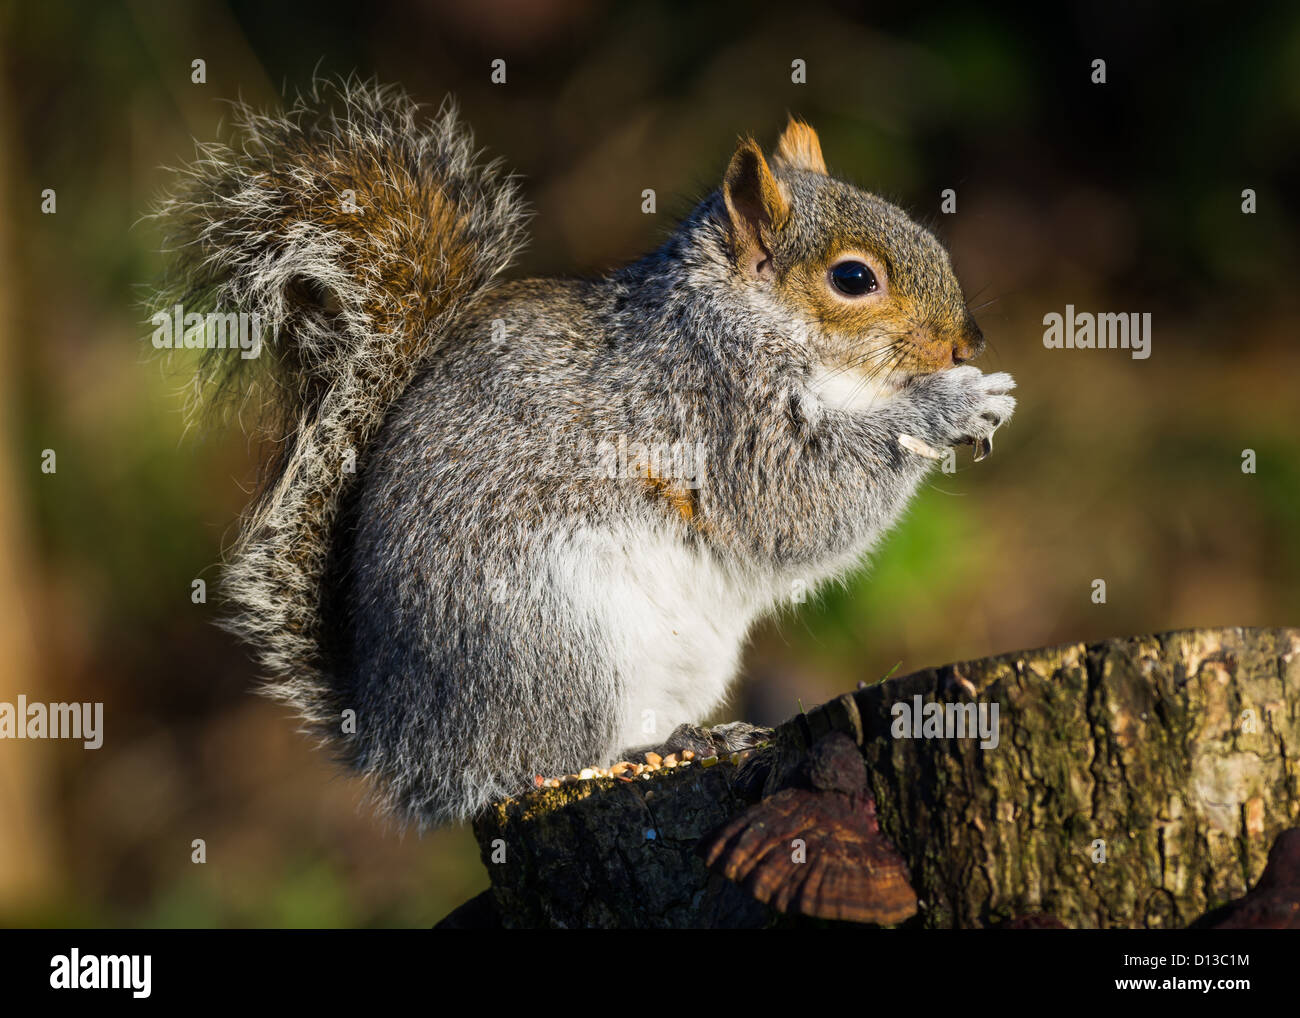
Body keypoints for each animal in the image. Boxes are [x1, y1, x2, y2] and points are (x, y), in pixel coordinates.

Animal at [155, 78, 1015, 828]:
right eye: (853, 278)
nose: (967, 341)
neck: (742, 320)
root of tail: (399, 743)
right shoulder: (715, 414)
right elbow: (800, 504)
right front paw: (953, 404)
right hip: (560, 645)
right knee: (537, 764)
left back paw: (702, 737)